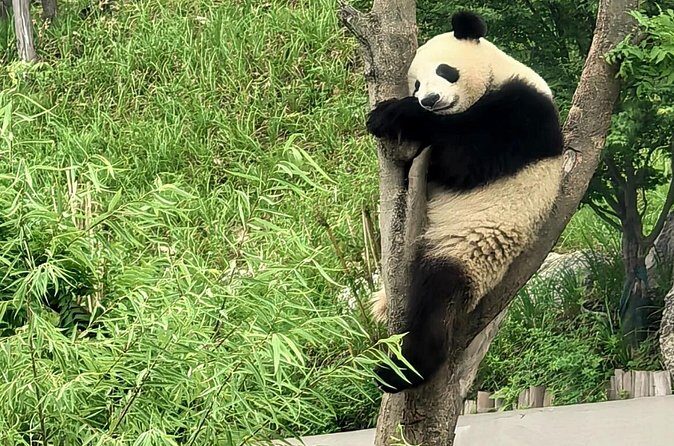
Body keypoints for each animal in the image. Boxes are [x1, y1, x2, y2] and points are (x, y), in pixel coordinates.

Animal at [367, 11, 564, 393]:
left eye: (445, 70)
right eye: (416, 84)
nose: (428, 100)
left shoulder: (525, 111)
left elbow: (462, 159)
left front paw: (396, 115)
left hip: (471, 242)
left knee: (438, 298)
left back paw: (401, 371)